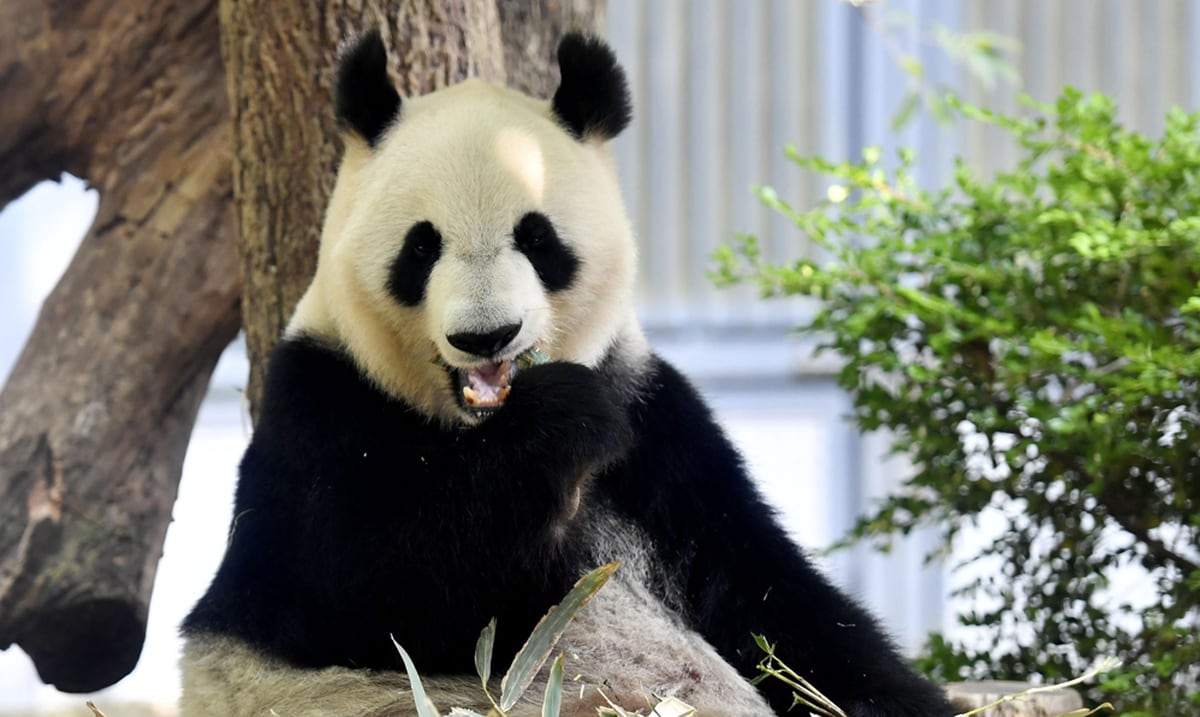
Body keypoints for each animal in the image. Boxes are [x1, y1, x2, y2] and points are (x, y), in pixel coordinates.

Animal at [180, 30, 957, 717]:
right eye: (421, 246)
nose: (486, 334)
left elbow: (765, 592)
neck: (473, 429)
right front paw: (559, 421)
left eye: (537, 237)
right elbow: (361, 590)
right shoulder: (319, 401)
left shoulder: (654, 425)